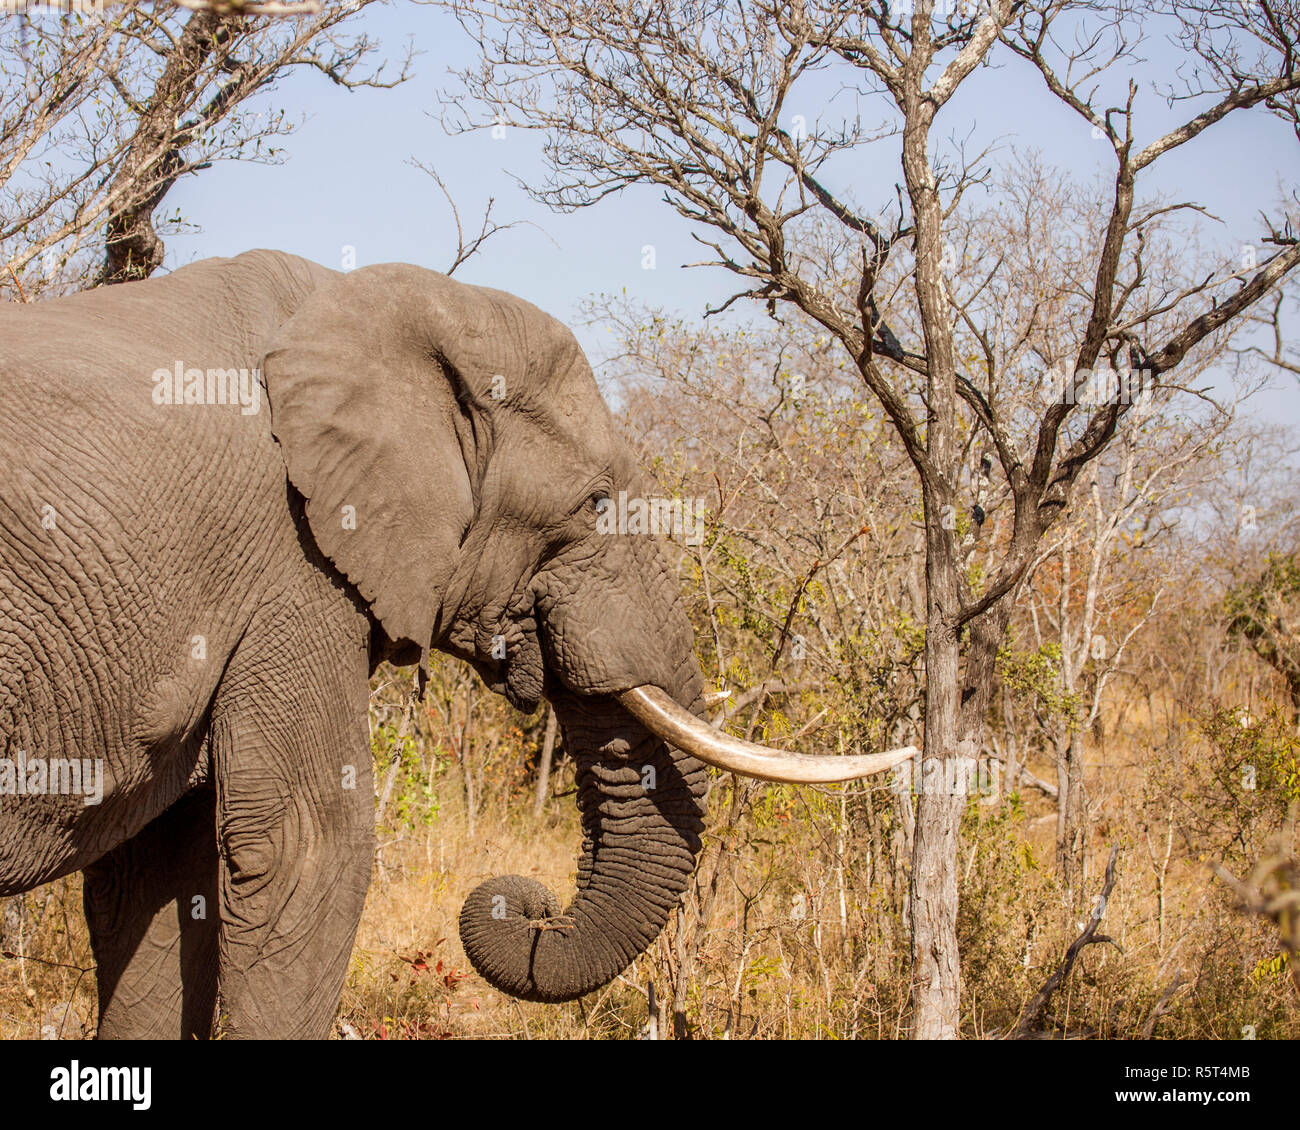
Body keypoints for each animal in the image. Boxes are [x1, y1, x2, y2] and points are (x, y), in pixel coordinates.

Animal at [0, 249, 913, 1038]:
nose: (525, 905)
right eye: (593, 503)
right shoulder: (292, 567)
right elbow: (309, 848)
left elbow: (156, 880)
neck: (397, 309)